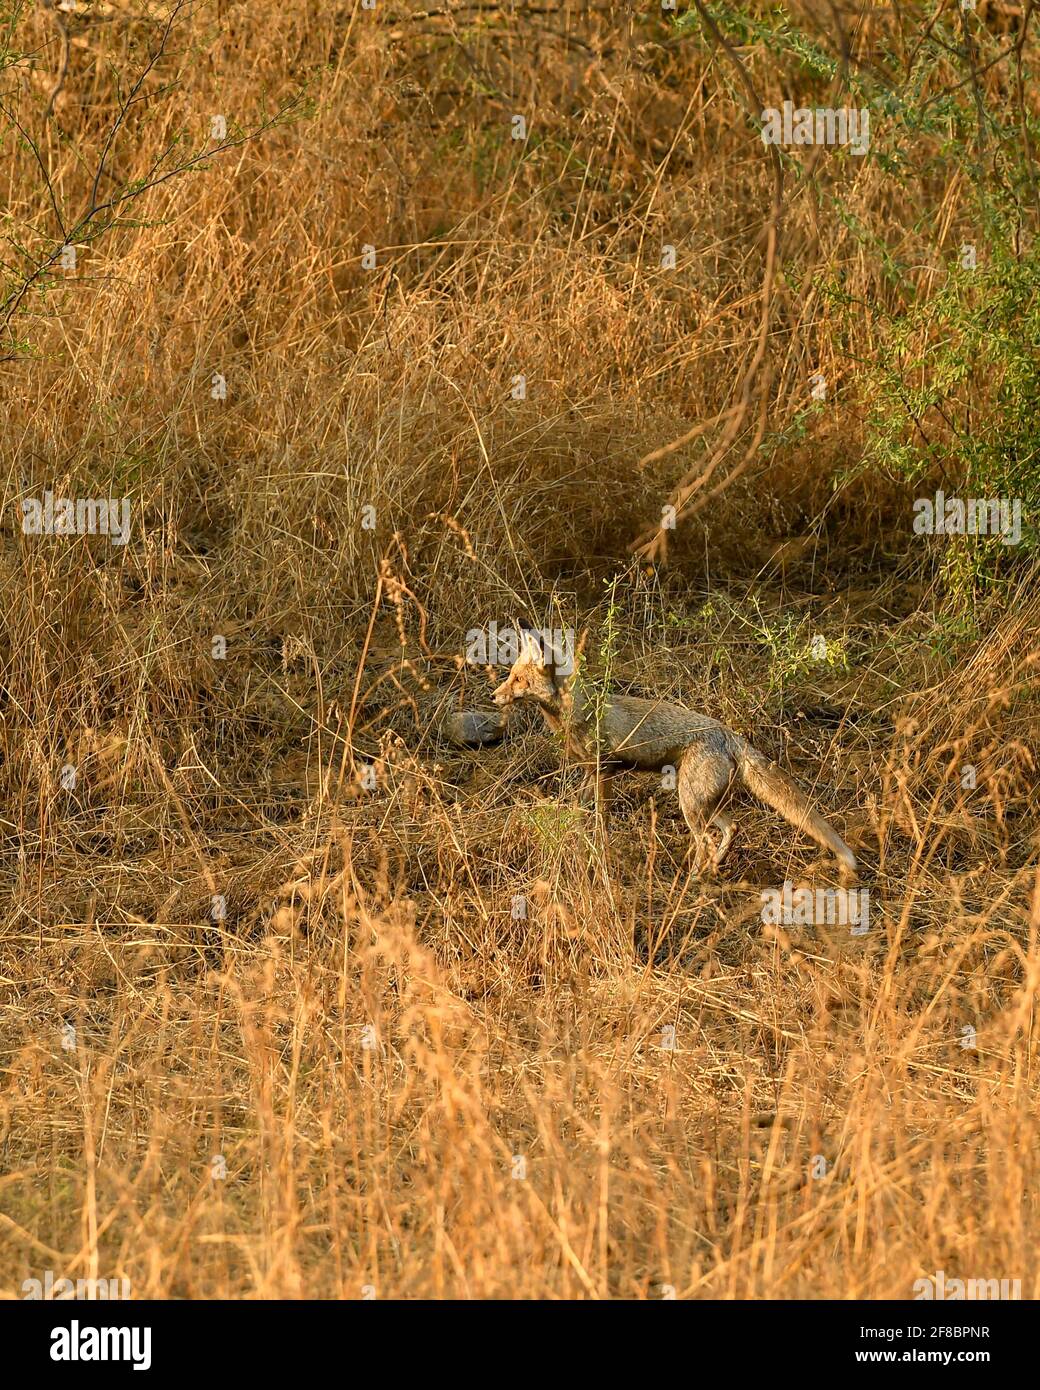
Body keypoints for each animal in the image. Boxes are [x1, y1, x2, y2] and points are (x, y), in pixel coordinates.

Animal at [491, 626, 857, 878]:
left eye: (518, 679)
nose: (494, 696)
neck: (576, 712)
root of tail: (728, 733)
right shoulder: (587, 771)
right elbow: (579, 813)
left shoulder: (604, 770)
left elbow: (601, 820)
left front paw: (599, 848)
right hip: (705, 802)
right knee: (732, 829)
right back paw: (712, 870)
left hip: (689, 802)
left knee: (705, 839)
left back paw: (693, 879)